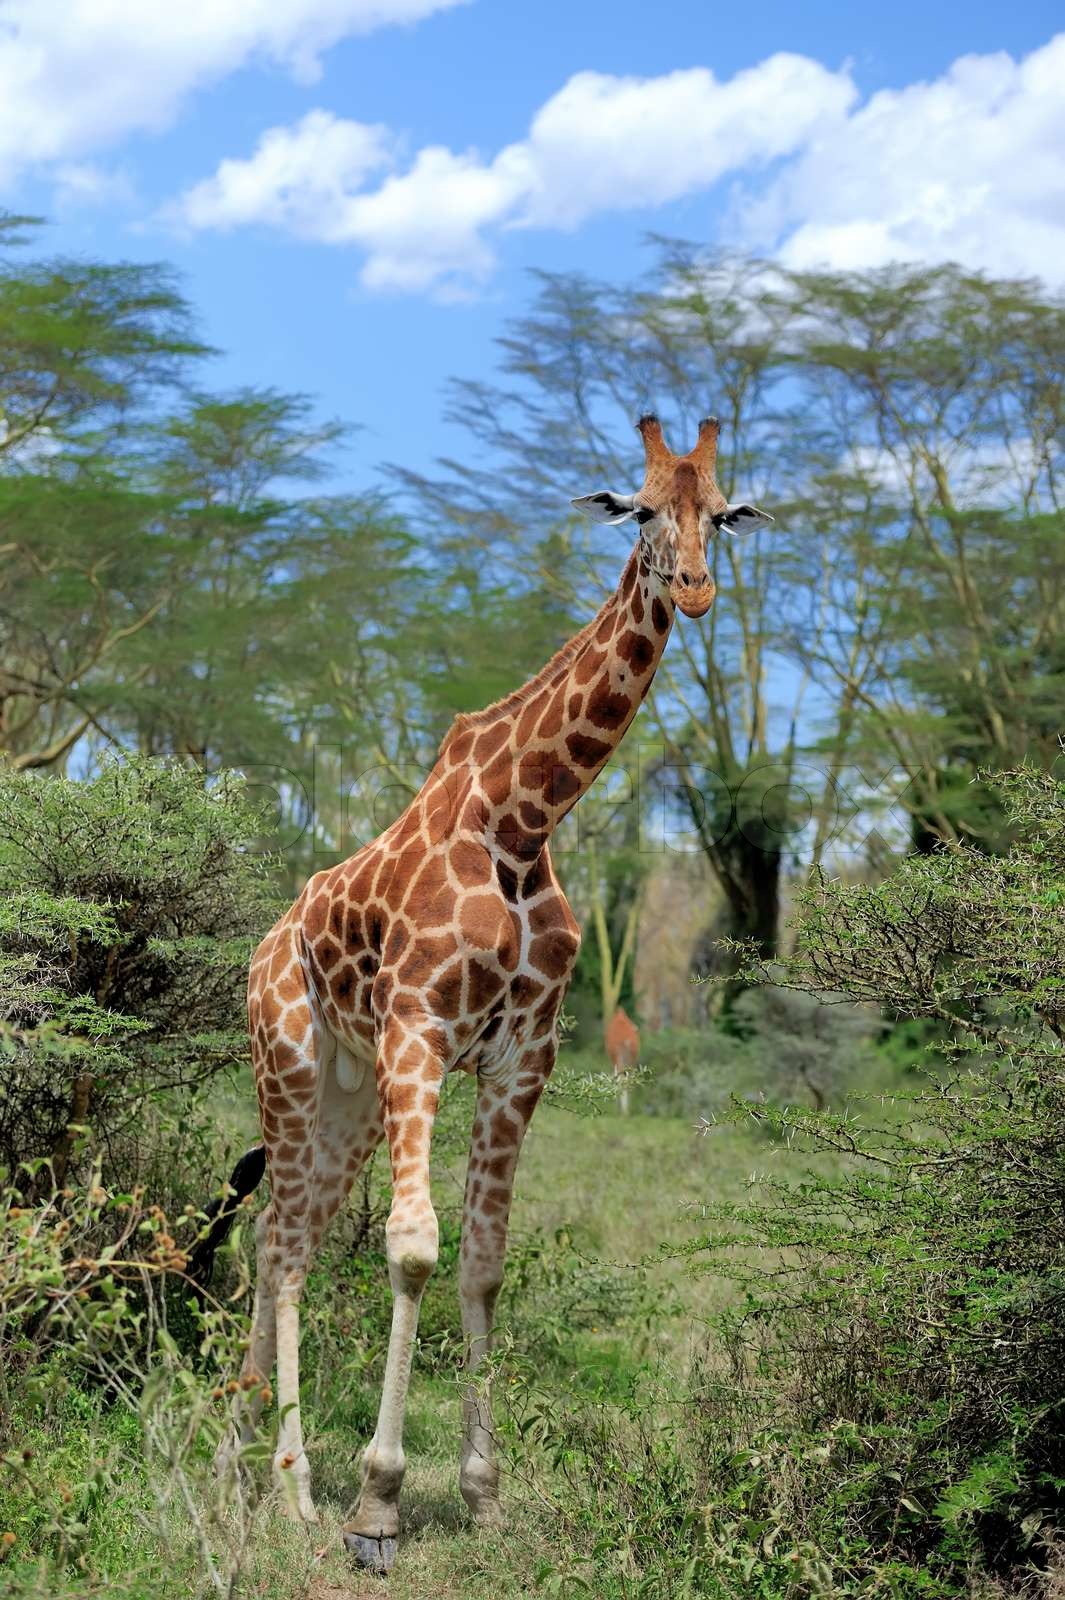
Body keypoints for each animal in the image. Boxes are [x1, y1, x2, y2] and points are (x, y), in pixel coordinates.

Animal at [209, 412, 771, 1575]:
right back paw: (292, 1488)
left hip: (346, 1096)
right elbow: (414, 1249)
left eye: (719, 511)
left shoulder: (523, 1053)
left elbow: (481, 1262)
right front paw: (377, 1503)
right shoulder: (421, 1031)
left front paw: (483, 1493)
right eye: (640, 510)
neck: (521, 818)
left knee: (285, 1233)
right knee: (279, 1241)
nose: (695, 588)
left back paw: (242, 1464)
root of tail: (265, 945)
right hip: (289, 1063)